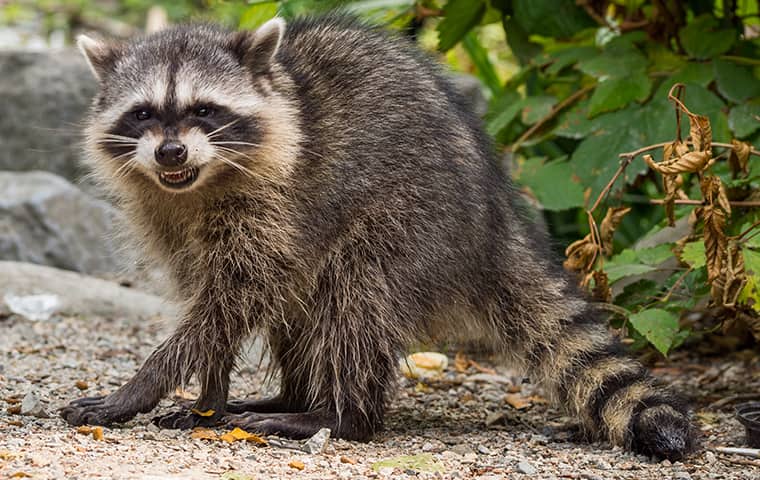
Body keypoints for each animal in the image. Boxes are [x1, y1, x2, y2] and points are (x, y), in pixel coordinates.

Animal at [60, 15, 696, 459]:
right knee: (305, 310)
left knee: (356, 300)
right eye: (143, 114)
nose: (171, 152)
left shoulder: (278, 205)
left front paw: (143, 386)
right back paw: (291, 397)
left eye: (204, 110)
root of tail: (495, 220)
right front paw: (208, 398)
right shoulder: (168, 218)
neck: (198, 183)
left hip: (411, 221)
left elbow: (232, 301)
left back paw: (336, 416)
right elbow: (214, 303)